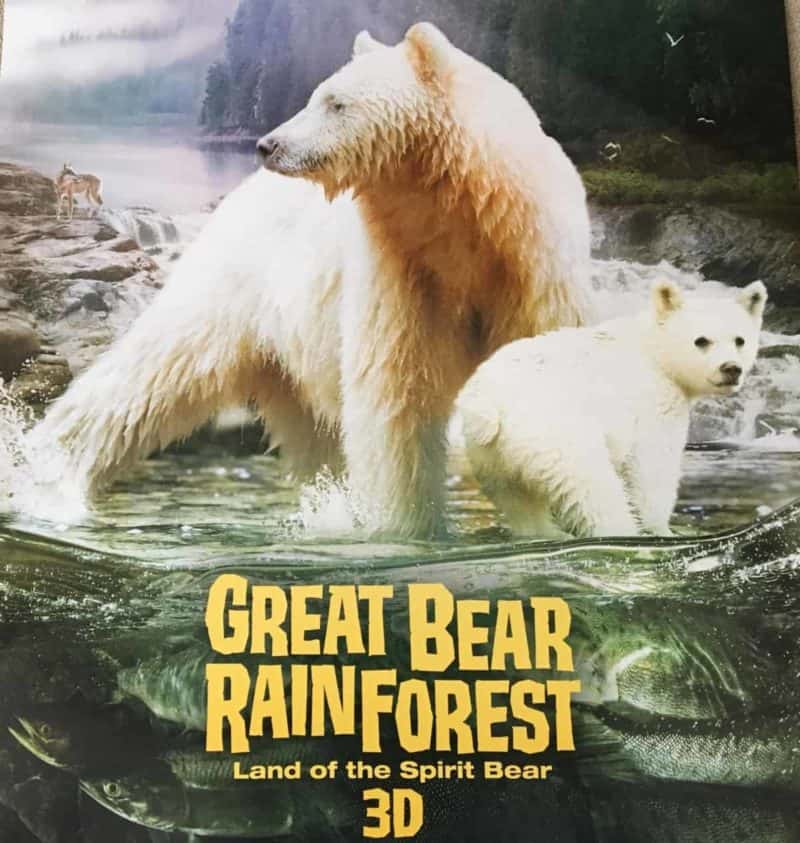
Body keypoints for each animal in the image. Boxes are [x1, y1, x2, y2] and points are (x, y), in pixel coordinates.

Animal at [31, 23, 592, 538]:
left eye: (335, 103)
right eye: (317, 94)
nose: (267, 144)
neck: (462, 224)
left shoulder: (534, 275)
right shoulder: (400, 273)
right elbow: (397, 404)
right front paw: (409, 533)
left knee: (315, 438)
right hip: (232, 287)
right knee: (147, 379)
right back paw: (47, 475)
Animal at [457, 280, 767, 539]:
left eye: (740, 340)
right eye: (701, 340)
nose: (731, 369)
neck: (654, 350)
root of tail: (488, 402)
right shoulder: (654, 399)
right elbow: (653, 466)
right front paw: (661, 529)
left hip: (491, 454)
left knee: (519, 501)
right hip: (557, 432)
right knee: (592, 490)